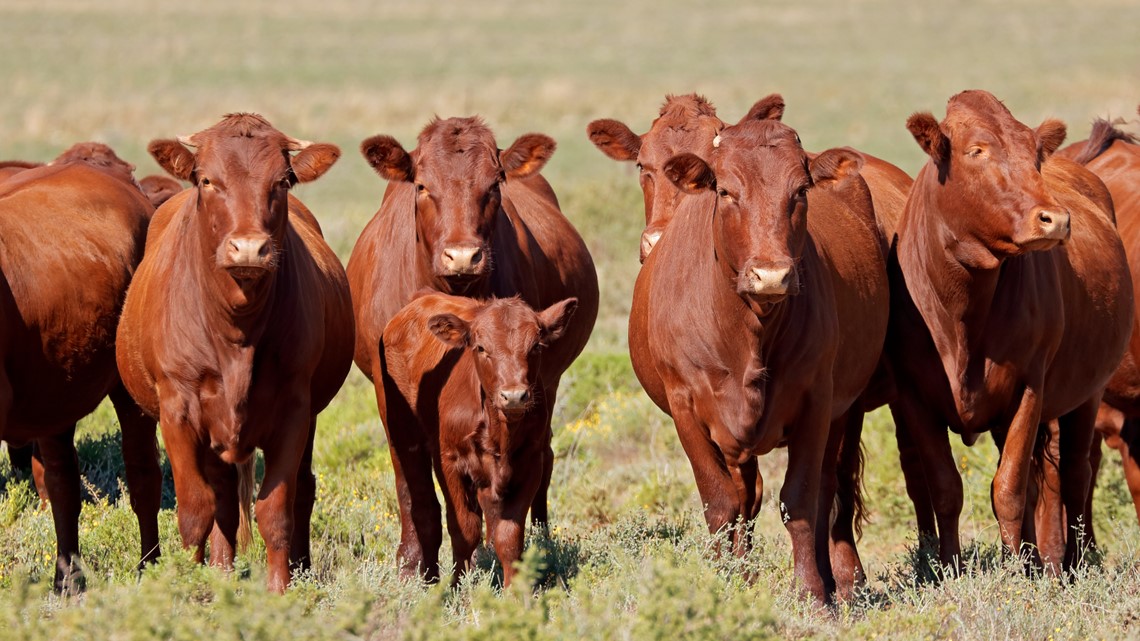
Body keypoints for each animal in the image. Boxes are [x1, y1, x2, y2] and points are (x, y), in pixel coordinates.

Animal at [0, 142, 162, 592]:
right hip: (54, 389)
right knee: (61, 481)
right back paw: (67, 578)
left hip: (130, 388)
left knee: (142, 473)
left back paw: (149, 566)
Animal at [116, 113, 354, 593]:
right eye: (208, 180)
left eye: (282, 181)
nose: (248, 248)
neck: (235, 331)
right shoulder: (178, 409)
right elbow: (195, 510)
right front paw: (186, 589)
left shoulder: (295, 409)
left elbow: (275, 510)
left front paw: (280, 591)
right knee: (190, 490)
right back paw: (190, 569)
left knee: (295, 489)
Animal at [382, 291, 577, 587]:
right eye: (481, 347)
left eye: (535, 347)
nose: (514, 396)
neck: (500, 431)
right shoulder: (449, 461)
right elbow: (464, 528)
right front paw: (457, 587)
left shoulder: (531, 462)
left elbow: (508, 535)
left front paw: (515, 591)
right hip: (402, 434)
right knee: (421, 504)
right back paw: (428, 577)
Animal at [588, 93, 909, 599]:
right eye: (724, 190)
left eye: (801, 191)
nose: (771, 274)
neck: (749, 331)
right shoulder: (687, 407)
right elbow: (722, 503)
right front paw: (728, 583)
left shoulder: (818, 400)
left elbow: (800, 500)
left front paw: (813, 594)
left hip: (846, 406)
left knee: (831, 486)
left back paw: (843, 579)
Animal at [886, 90, 1132, 575]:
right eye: (976, 151)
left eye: (1034, 153)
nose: (1055, 219)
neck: (962, 311)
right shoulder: (914, 396)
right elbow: (946, 488)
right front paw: (952, 568)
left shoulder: (1029, 389)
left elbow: (1010, 488)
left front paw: (1016, 571)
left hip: (1087, 395)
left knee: (1074, 473)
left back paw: (1069, 562)